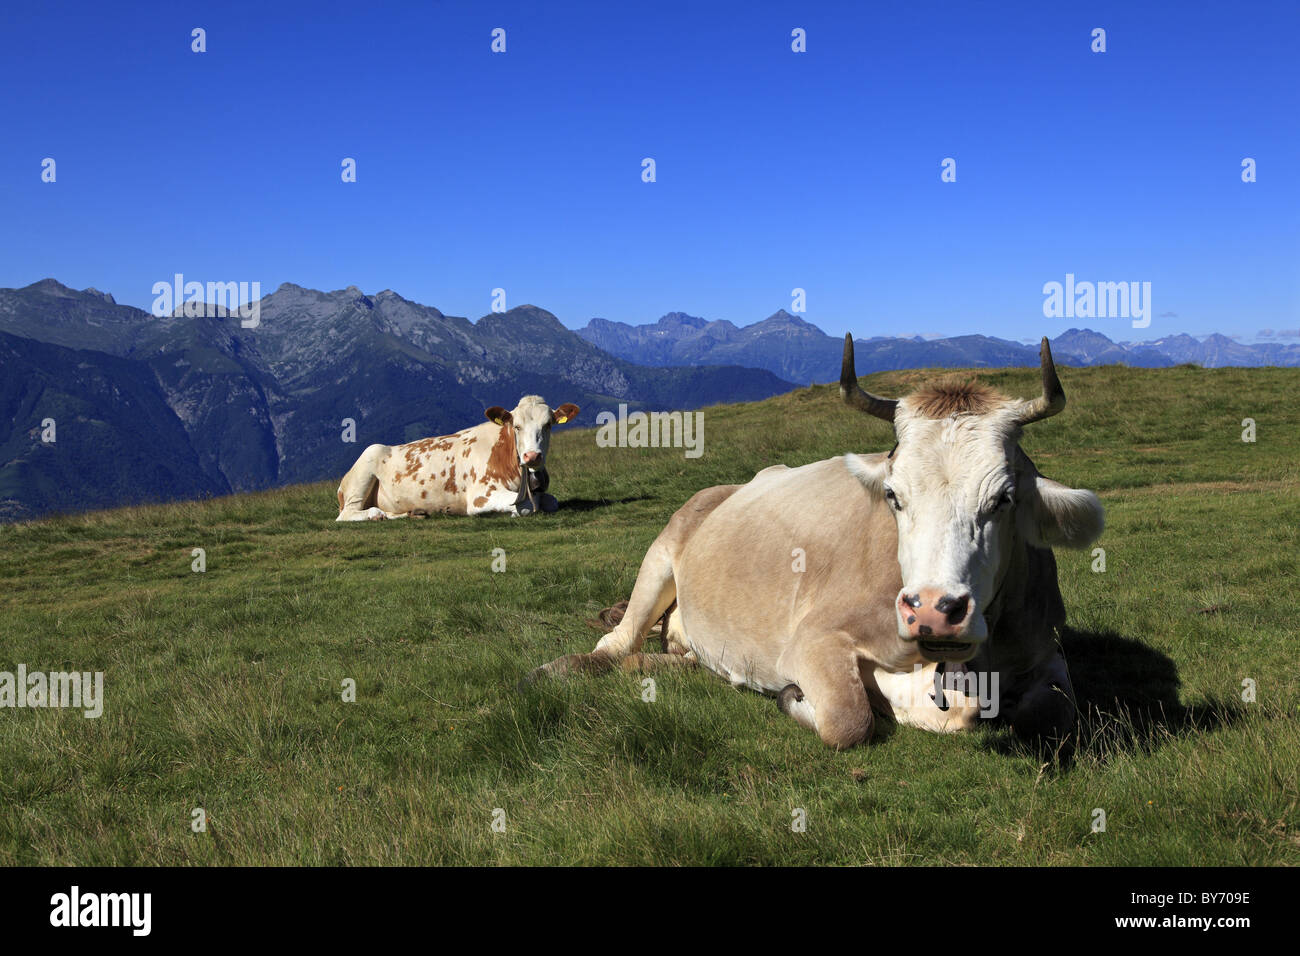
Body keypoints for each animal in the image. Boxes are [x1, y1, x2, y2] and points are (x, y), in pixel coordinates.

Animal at [335, 395, 580, 520]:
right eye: (516, 426)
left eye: (548, 425)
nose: (532, 456)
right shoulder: (480, 495)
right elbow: (528, 505)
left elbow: (550, 501)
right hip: (366, 465)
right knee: (348, 513)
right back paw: (375, 514)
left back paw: (413, 513)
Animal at [528, 337, 1104, 749]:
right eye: (893, 495)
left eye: (1004, 498)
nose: (934, 612)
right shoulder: (814, 639)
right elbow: (850, 718)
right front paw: (825, 697)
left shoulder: (1045, 648)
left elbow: (1054, 712)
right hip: (661, 555)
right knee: (613, 645)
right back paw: (554, 670)